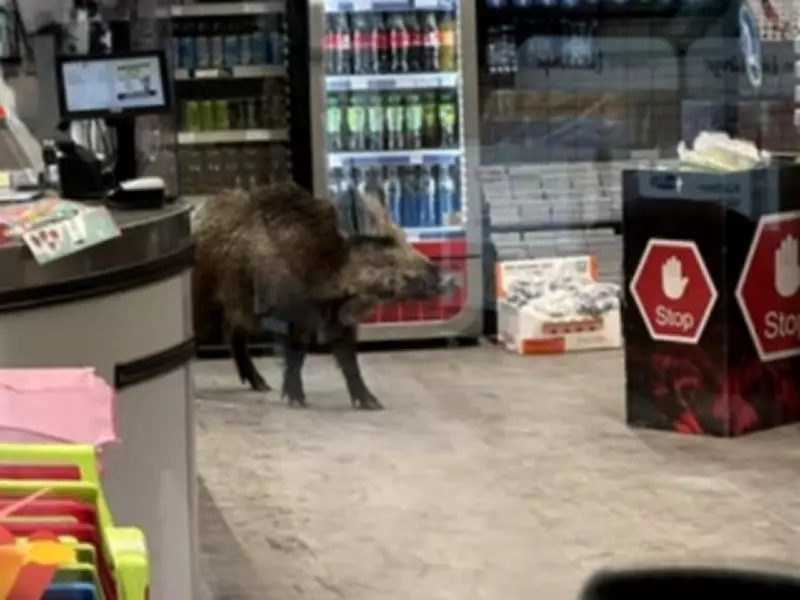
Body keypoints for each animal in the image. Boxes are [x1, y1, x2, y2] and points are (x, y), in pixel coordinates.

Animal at [191, 181, 447, 410]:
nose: (441, 274)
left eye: (400, 236)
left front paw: (373, 404)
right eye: (385, 242)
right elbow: (297, 353)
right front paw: (297, 401)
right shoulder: (293, 313)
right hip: (206, 302)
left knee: (235, 337)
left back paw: (262, 386)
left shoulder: (337, 316)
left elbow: (348, 358)